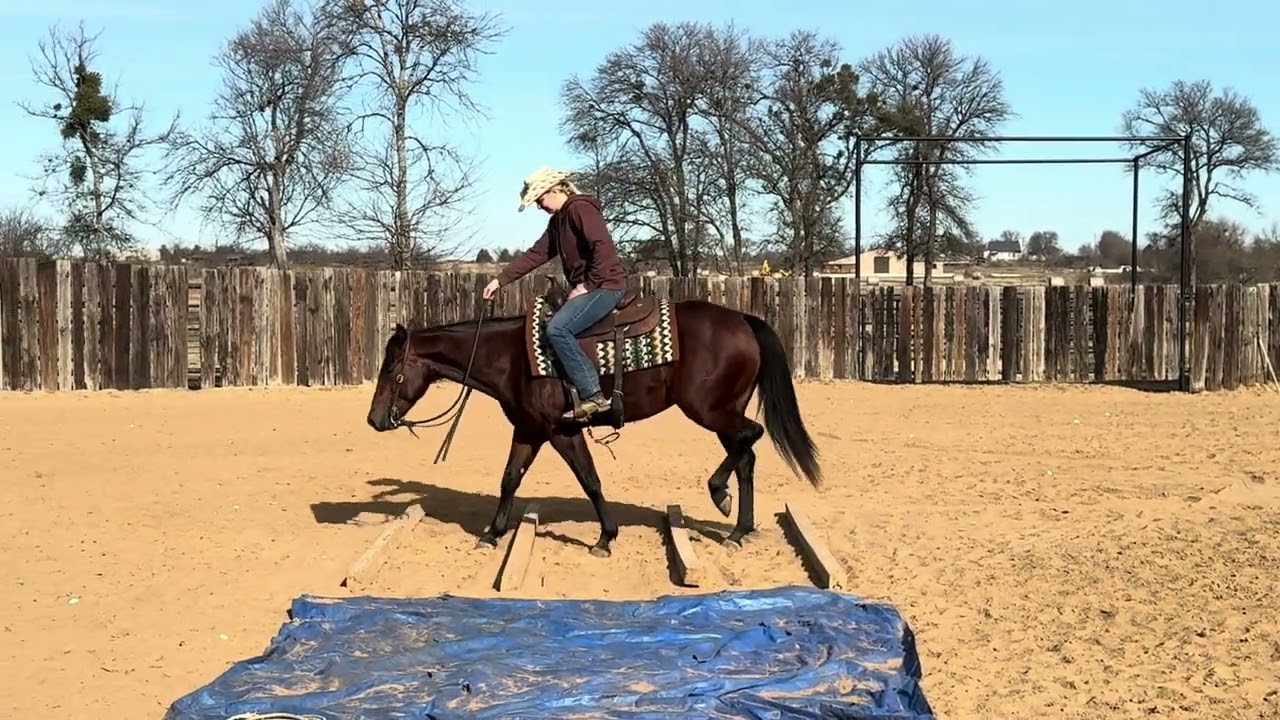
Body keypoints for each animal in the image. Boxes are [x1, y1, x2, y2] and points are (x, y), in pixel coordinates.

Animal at [365, 280, 822, 558]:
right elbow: (510, 478)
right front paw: (492, 533)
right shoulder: (529, 430)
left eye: (391, 369)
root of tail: (744, 320)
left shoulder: (561, 430)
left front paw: (606, 537)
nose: (373, 420)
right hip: (724, 412)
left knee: (752, 436)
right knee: (746, 455)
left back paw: (719, 494)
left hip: (711, 411)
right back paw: (737, 528)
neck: (511, 356)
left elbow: (590, 480)